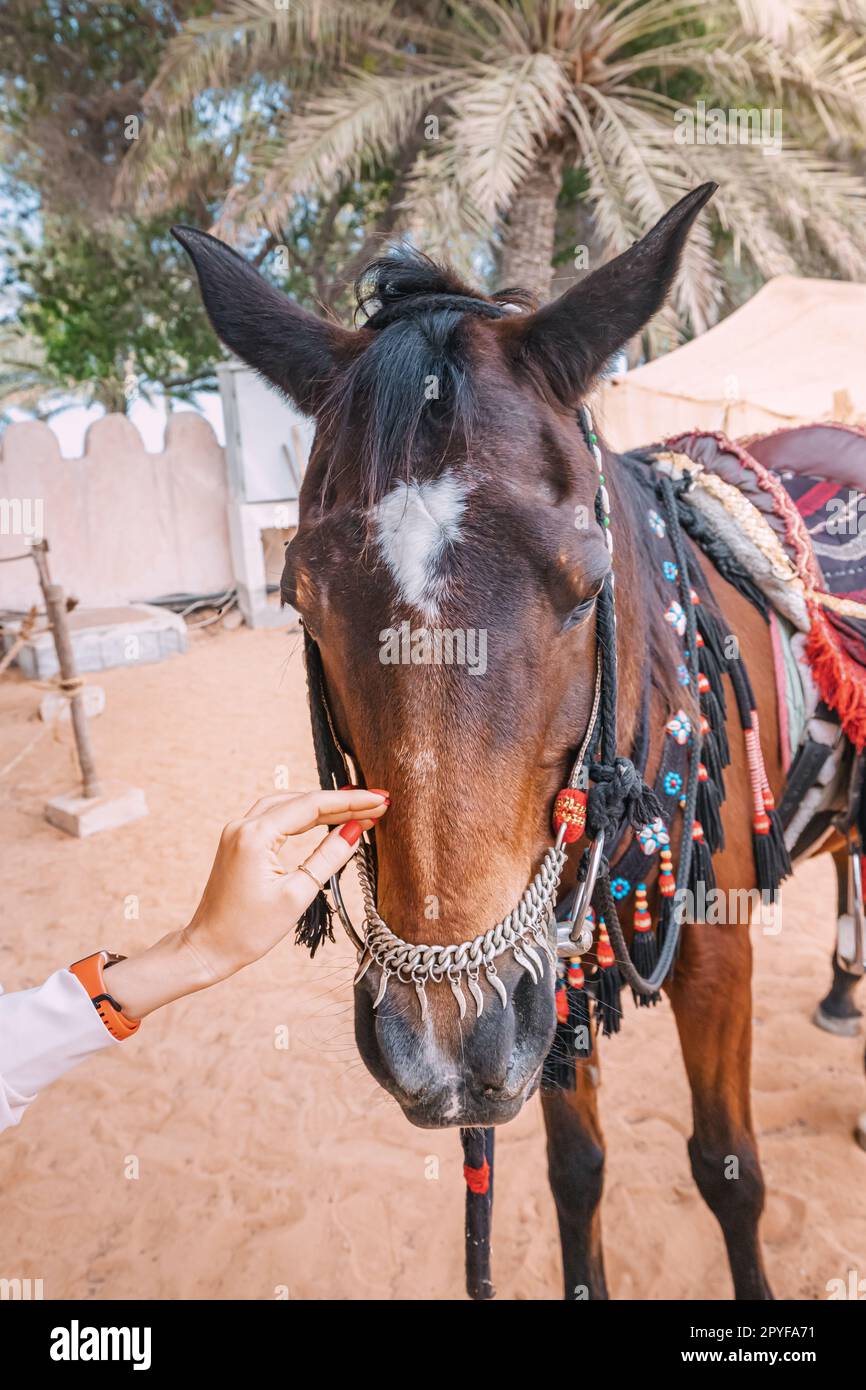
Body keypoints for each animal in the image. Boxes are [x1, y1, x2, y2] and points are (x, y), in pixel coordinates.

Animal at [173, 185, 865, 1300]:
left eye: (585, 587)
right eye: (301, 600)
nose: (441, 1040)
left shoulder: (712, 952)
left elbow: (726, 1169)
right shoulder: (543, 987)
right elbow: (575, 1171)